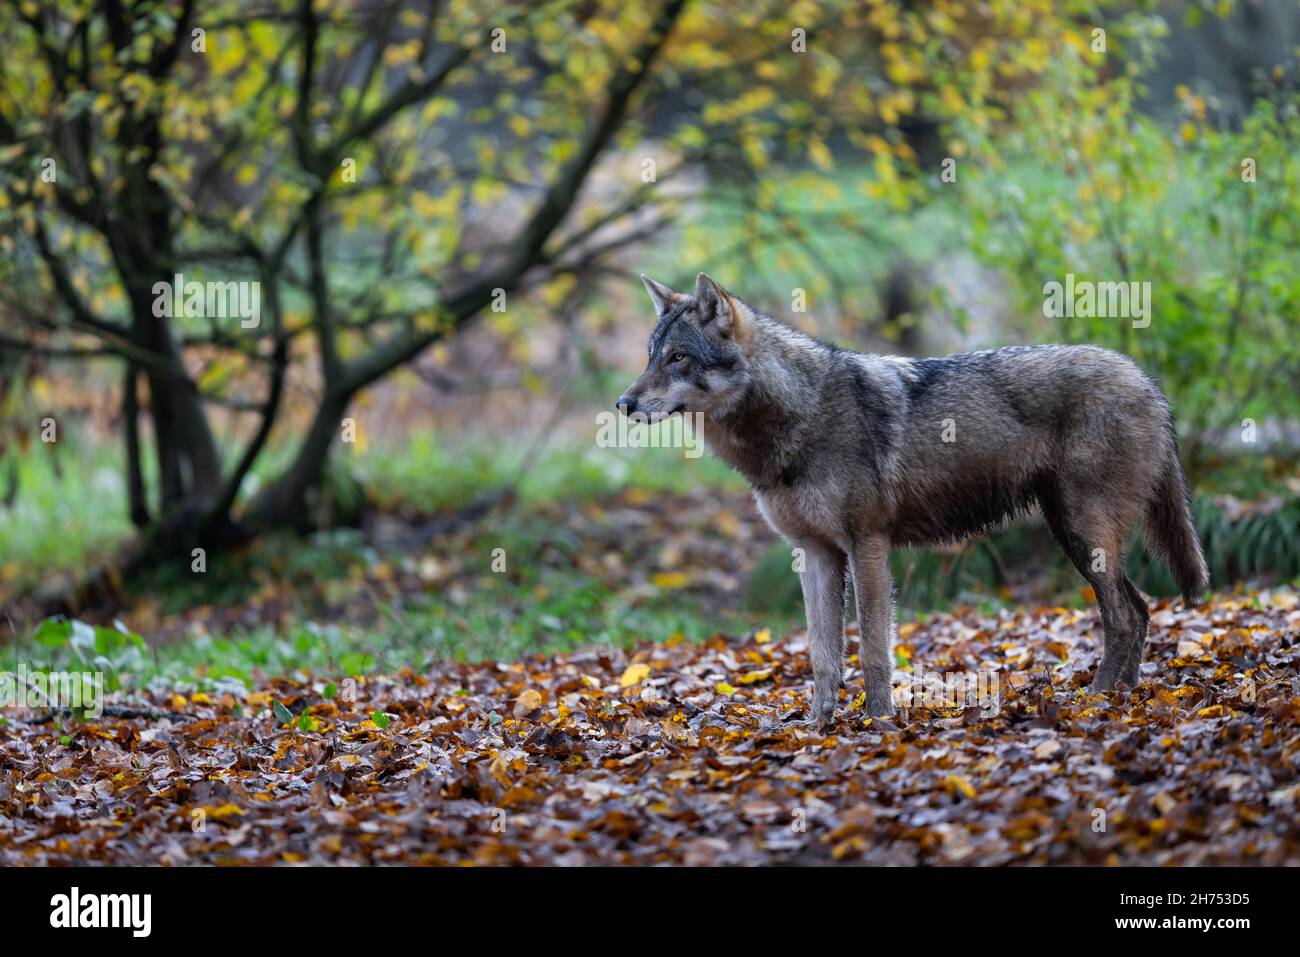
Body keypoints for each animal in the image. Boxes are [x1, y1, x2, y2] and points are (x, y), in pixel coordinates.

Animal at [617, 272, 1209, 725]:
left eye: (678, 357)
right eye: (649, 357)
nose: (623, 404)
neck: (796, 419)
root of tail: (1148, 383)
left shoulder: (868, 545)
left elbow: (874, 650)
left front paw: (878, 721)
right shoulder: (815, 554)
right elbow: (822, 655)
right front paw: (816, 725)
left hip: (1083, 536)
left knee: (1124, 615)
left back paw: (1097, 699)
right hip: (1074, 534)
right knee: (1140, 609)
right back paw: (1123, 695)